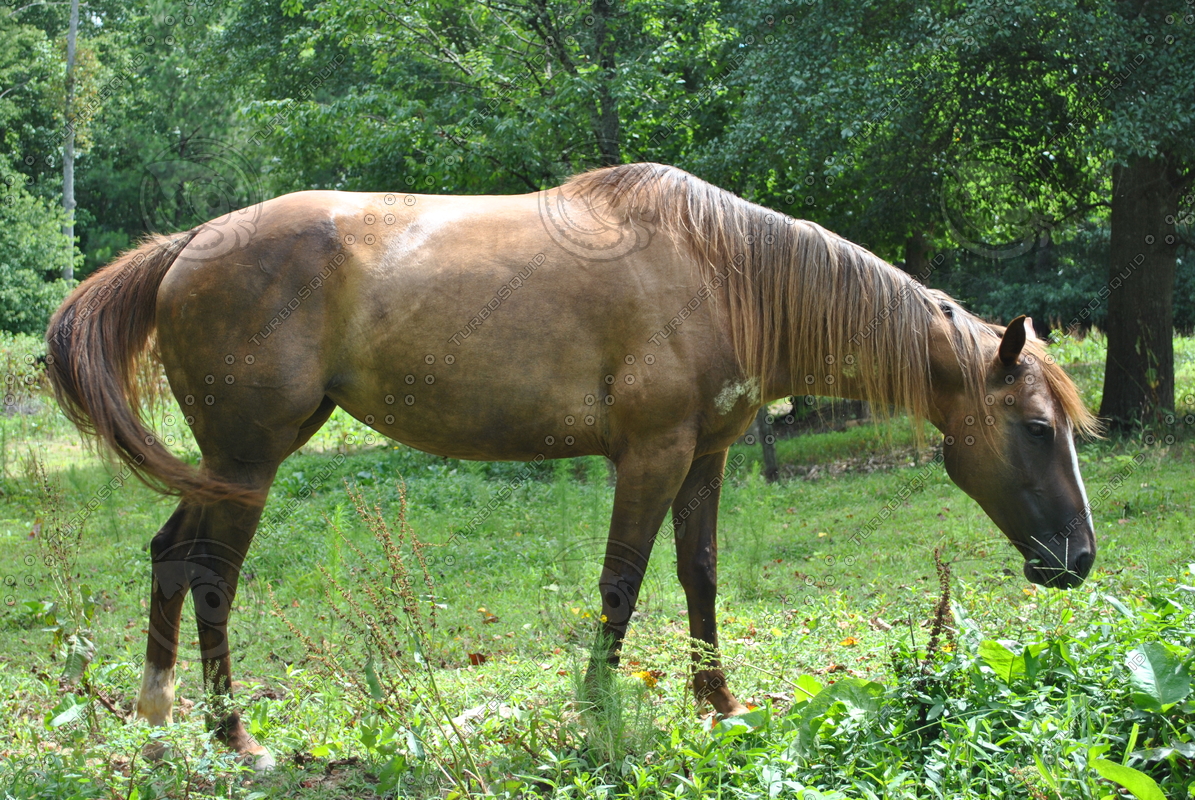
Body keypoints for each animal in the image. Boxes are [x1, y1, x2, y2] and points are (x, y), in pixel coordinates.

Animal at [46, 162, 1099, 769]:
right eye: (1035, 429)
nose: (1079, 559)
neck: (725, 271)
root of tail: (187, 246)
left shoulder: (705, 456)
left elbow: (698, 576)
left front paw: (717, 703)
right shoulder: (651, 455)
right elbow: (621, 584)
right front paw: (597, 711)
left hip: (232, 462)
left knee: (170, 557)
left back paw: (156, 717)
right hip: (249, 460)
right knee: (212, 576)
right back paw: (236, 739)